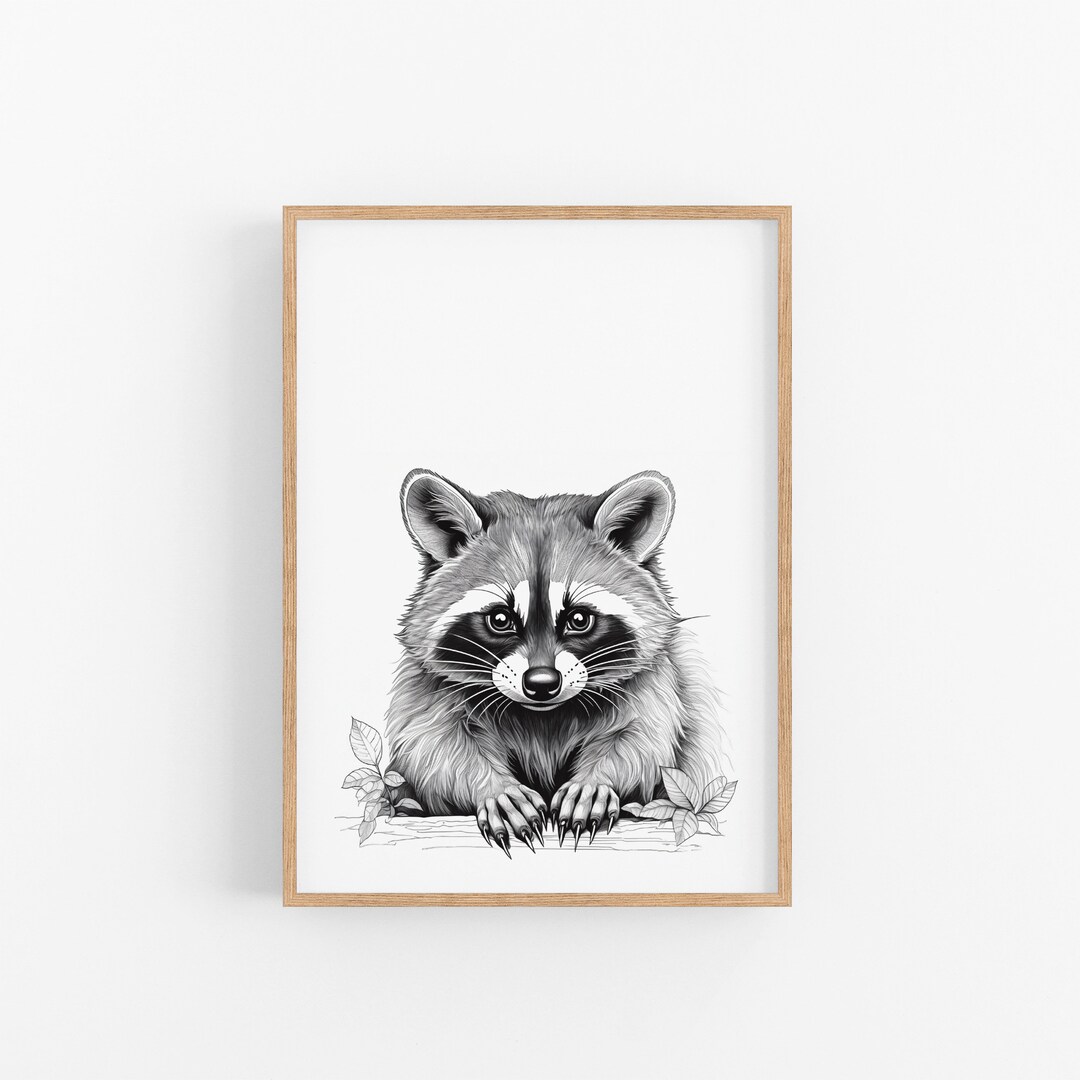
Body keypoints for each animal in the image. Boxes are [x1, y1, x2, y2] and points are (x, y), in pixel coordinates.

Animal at [384, 468, 725, 856]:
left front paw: (596, 779)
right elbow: (434, 745)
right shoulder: (426, 685)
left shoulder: (657, 680)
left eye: (578, 619)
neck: (542, 716)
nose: (542, 684)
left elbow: (644, 739)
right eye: (500, 619)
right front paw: (495, 787)